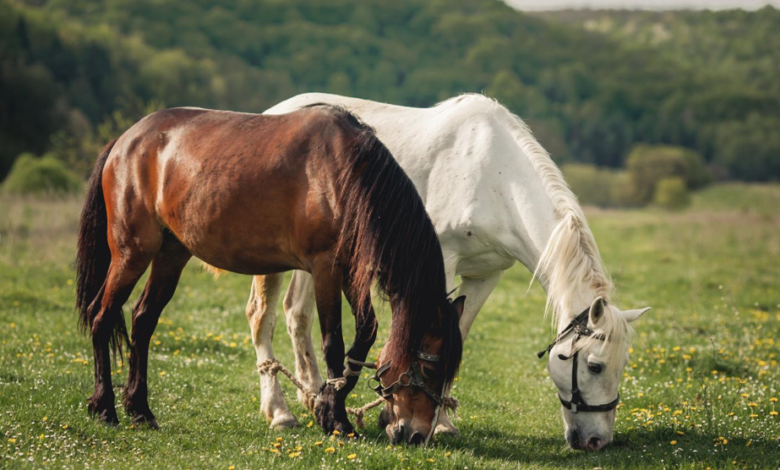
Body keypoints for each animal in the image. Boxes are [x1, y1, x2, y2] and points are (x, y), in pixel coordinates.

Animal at [74, 104, 464, 444]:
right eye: (431, 369)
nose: (416, 435)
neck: (345, 173)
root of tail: (125, 141)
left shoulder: (351, 271)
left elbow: (365, 334)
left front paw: (327, 406)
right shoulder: (326, 269)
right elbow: (334, 344)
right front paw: (336, 420)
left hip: (171, 255)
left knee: (142, 322)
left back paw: (140, 410)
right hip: (131, 254)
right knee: (102, 317)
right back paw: (105, 408)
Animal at [247, 93, 651, 450]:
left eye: (624, 364)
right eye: (595, 366)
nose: (597, 441)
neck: (496, 178)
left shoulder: (486, 275)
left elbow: (458, 333)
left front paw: (439, 420)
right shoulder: (439, 263)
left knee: (297, 315)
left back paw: (315, 395)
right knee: (262, 316)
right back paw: (280, 411)